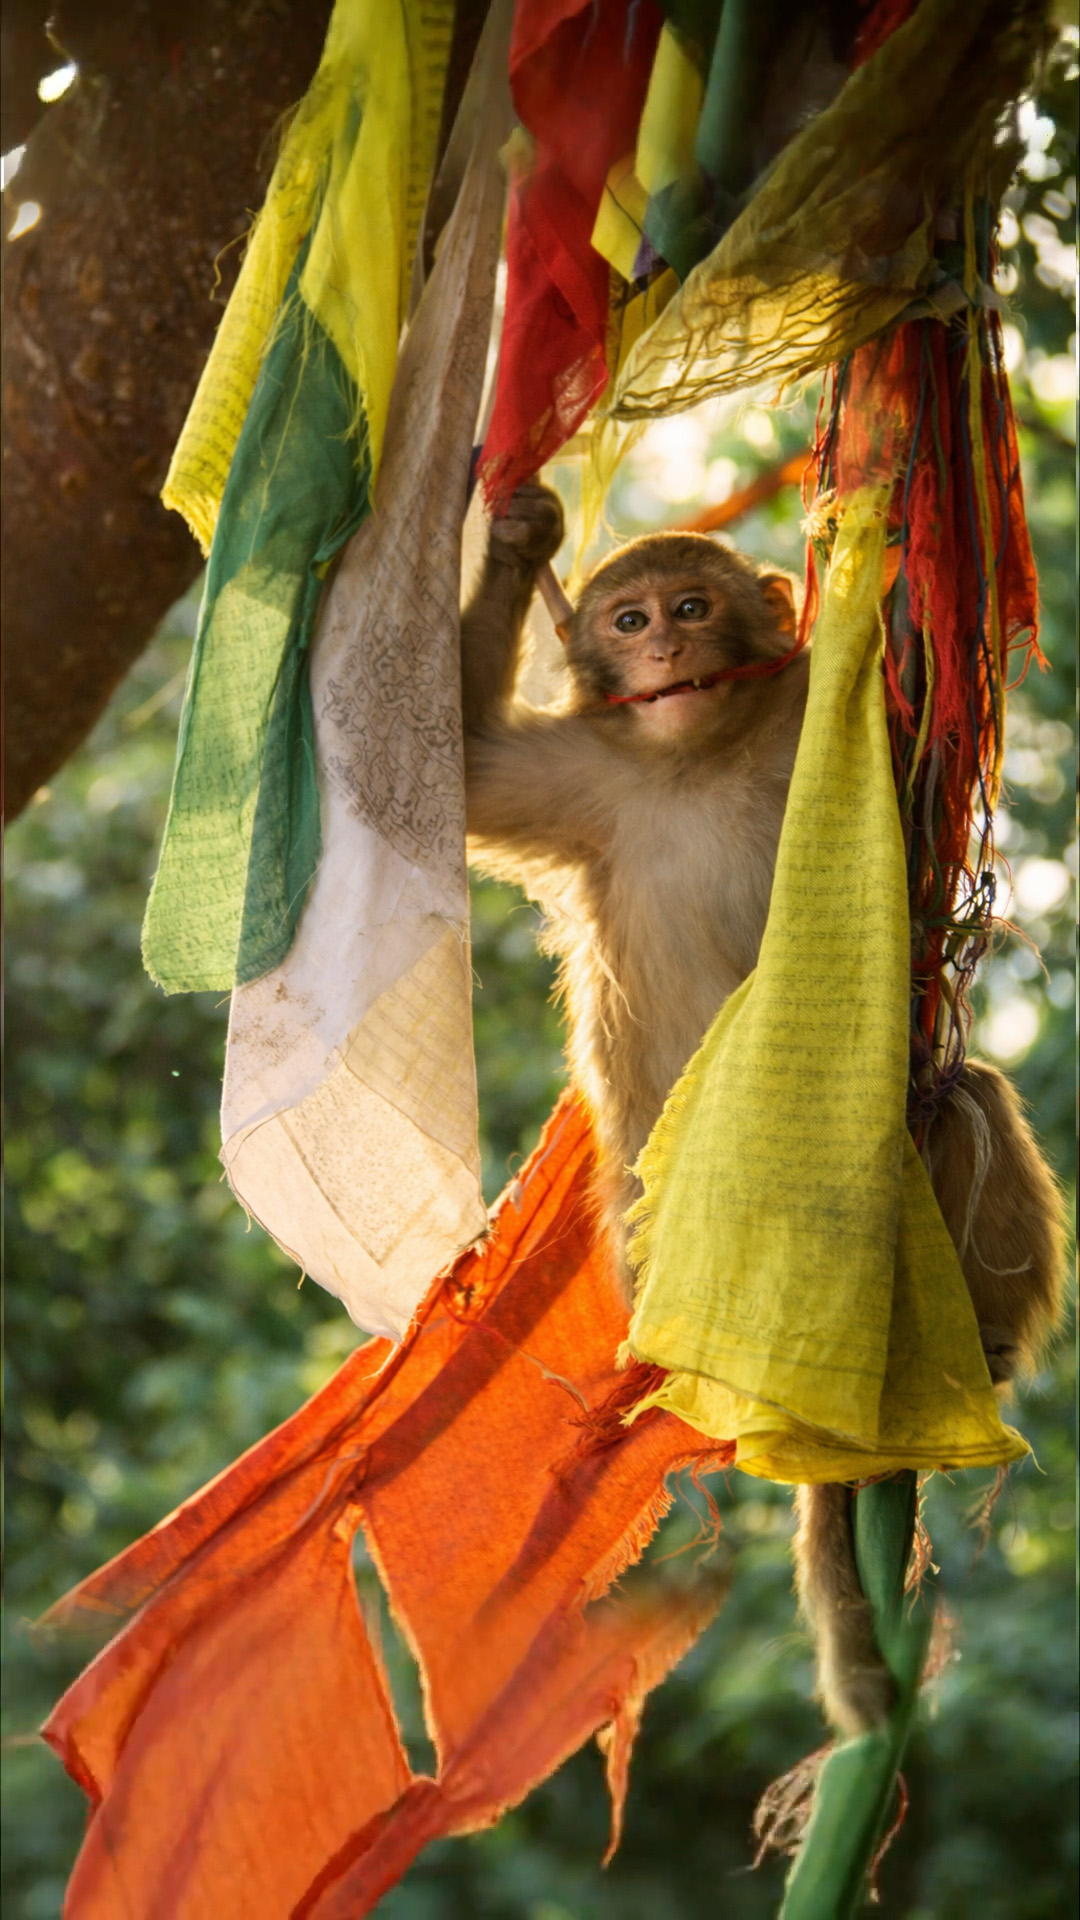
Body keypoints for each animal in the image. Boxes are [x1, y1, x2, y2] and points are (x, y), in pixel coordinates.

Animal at [460, 480, 1066, 1740]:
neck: (697, 755)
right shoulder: (580, 777)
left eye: (693, 607)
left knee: (958, 1101)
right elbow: (463, 763)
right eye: (630, 619)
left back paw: (976, 1342)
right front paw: (518, 537)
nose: (667, 651)